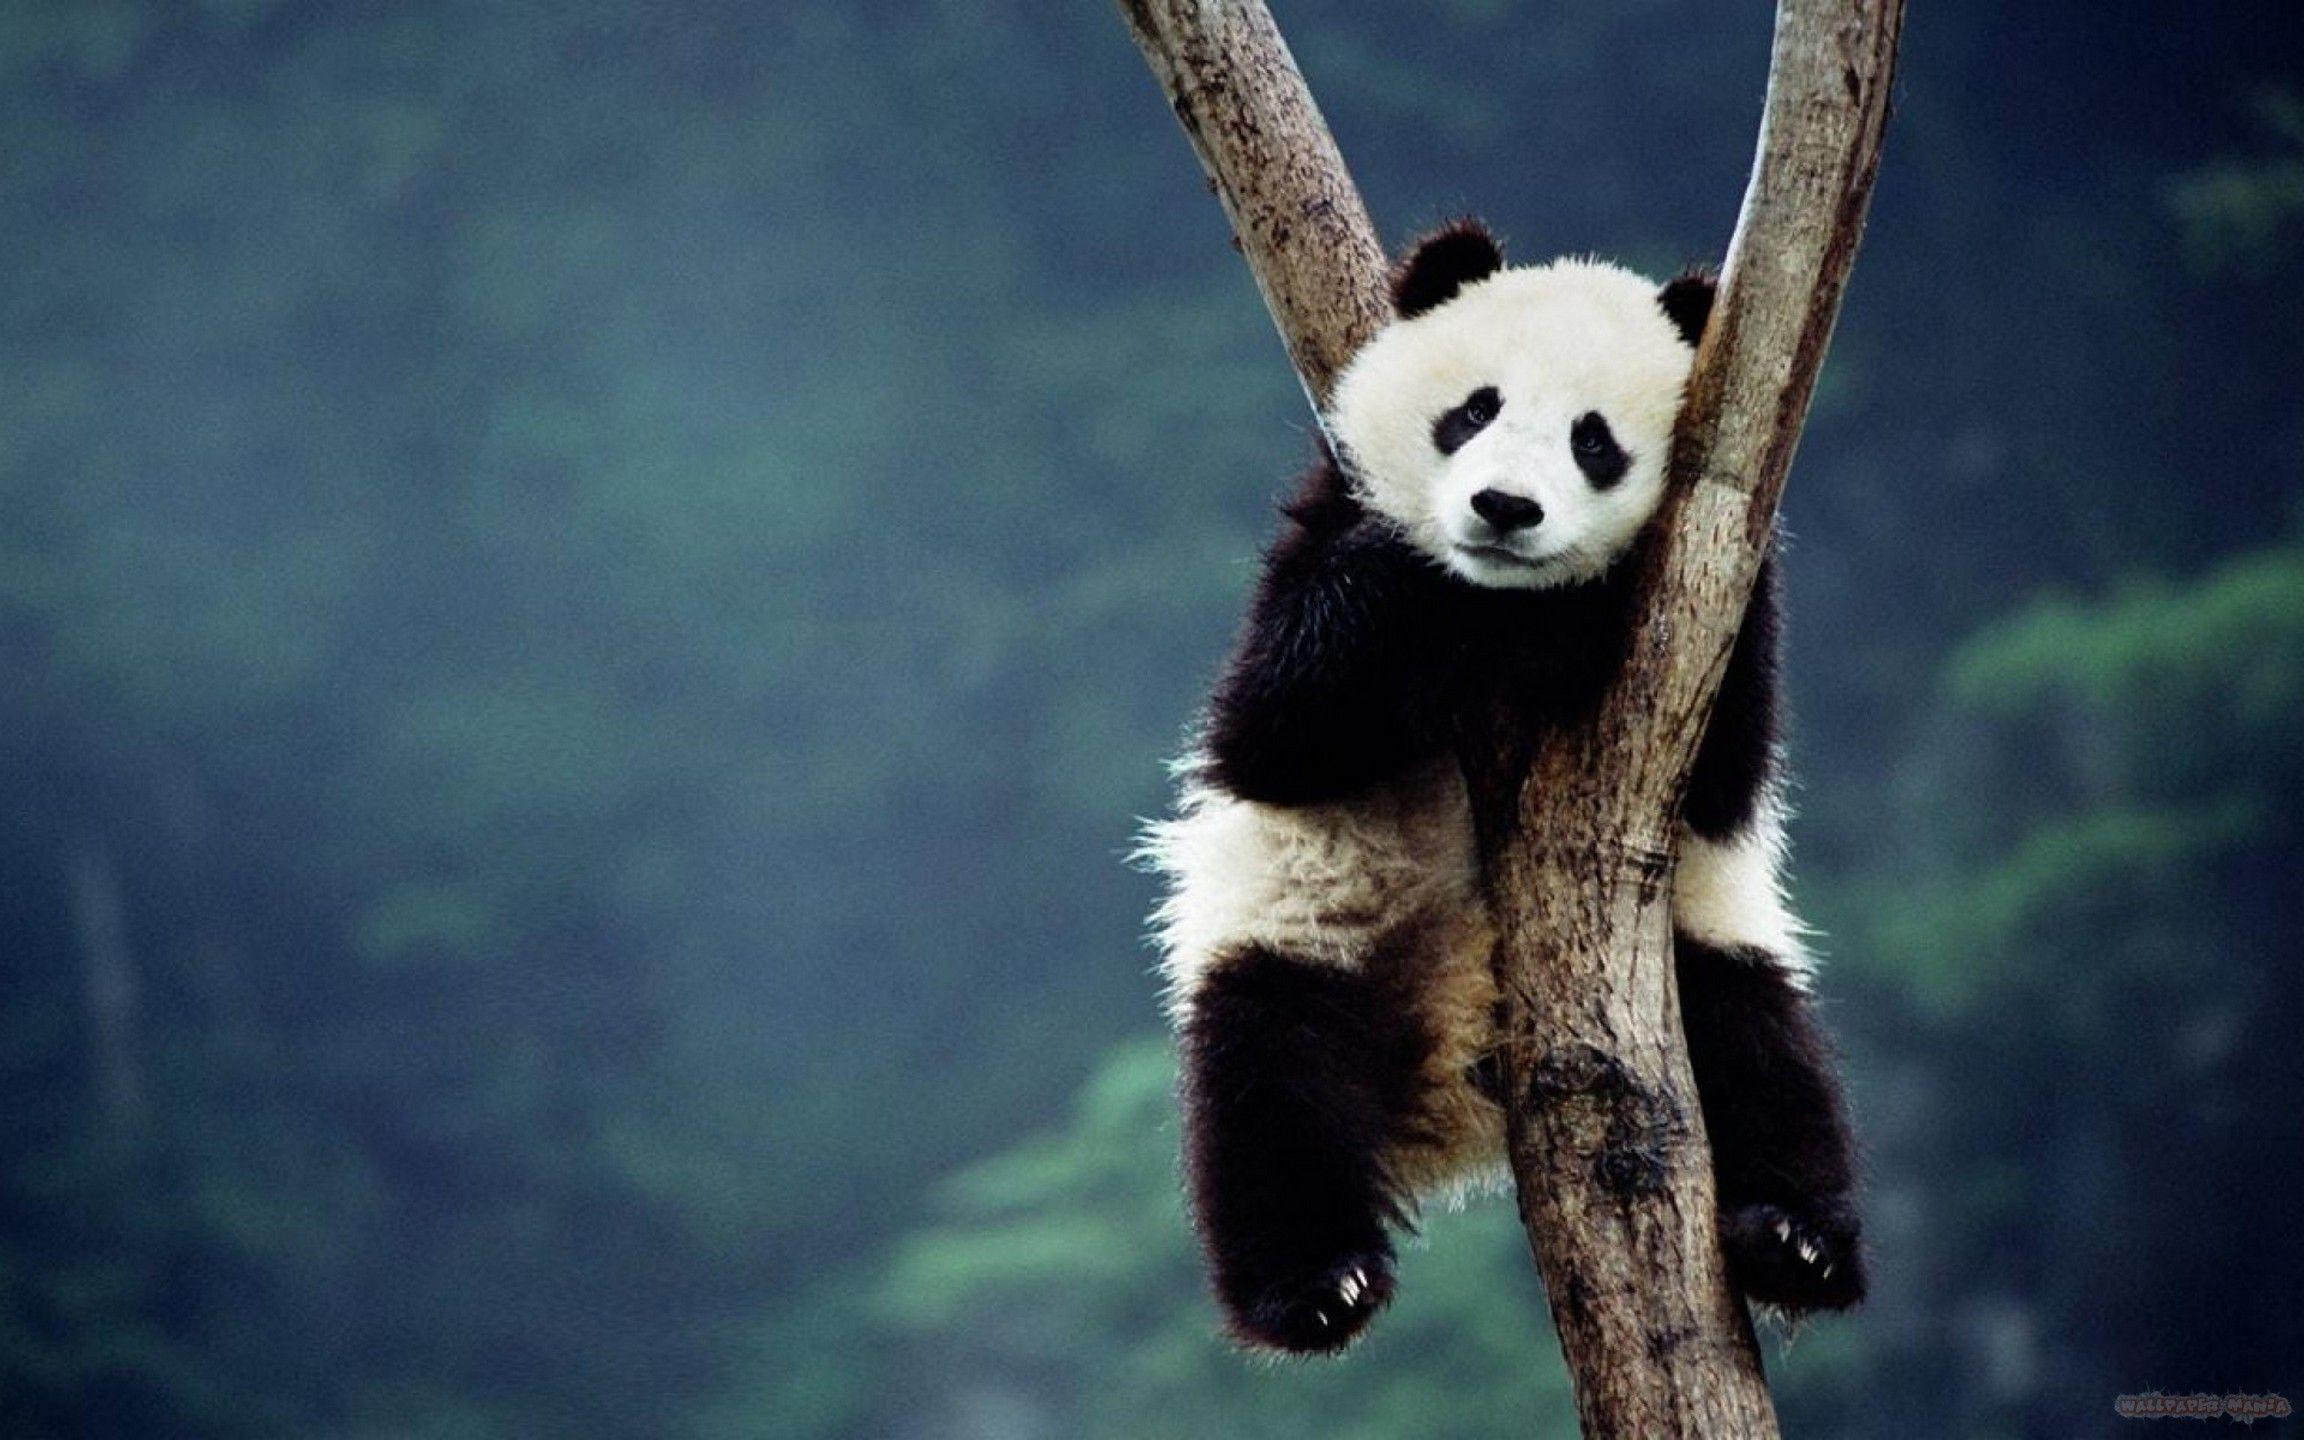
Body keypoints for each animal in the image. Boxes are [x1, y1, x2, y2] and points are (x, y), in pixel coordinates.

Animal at [1142, 219, 1863, 1356]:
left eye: (1594, 442)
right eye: (1473, 410)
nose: (1502, 509)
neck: (1501, 606)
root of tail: (1454, 1093)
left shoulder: (1713, 598)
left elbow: (1723, 776)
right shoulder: (1320, 530)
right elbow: (1274, 727)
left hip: (1696, 958)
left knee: (1765, 1054)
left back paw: (1797, 1241)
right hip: (1303, 937)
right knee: (1266, 1096)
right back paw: (1317, 1285)